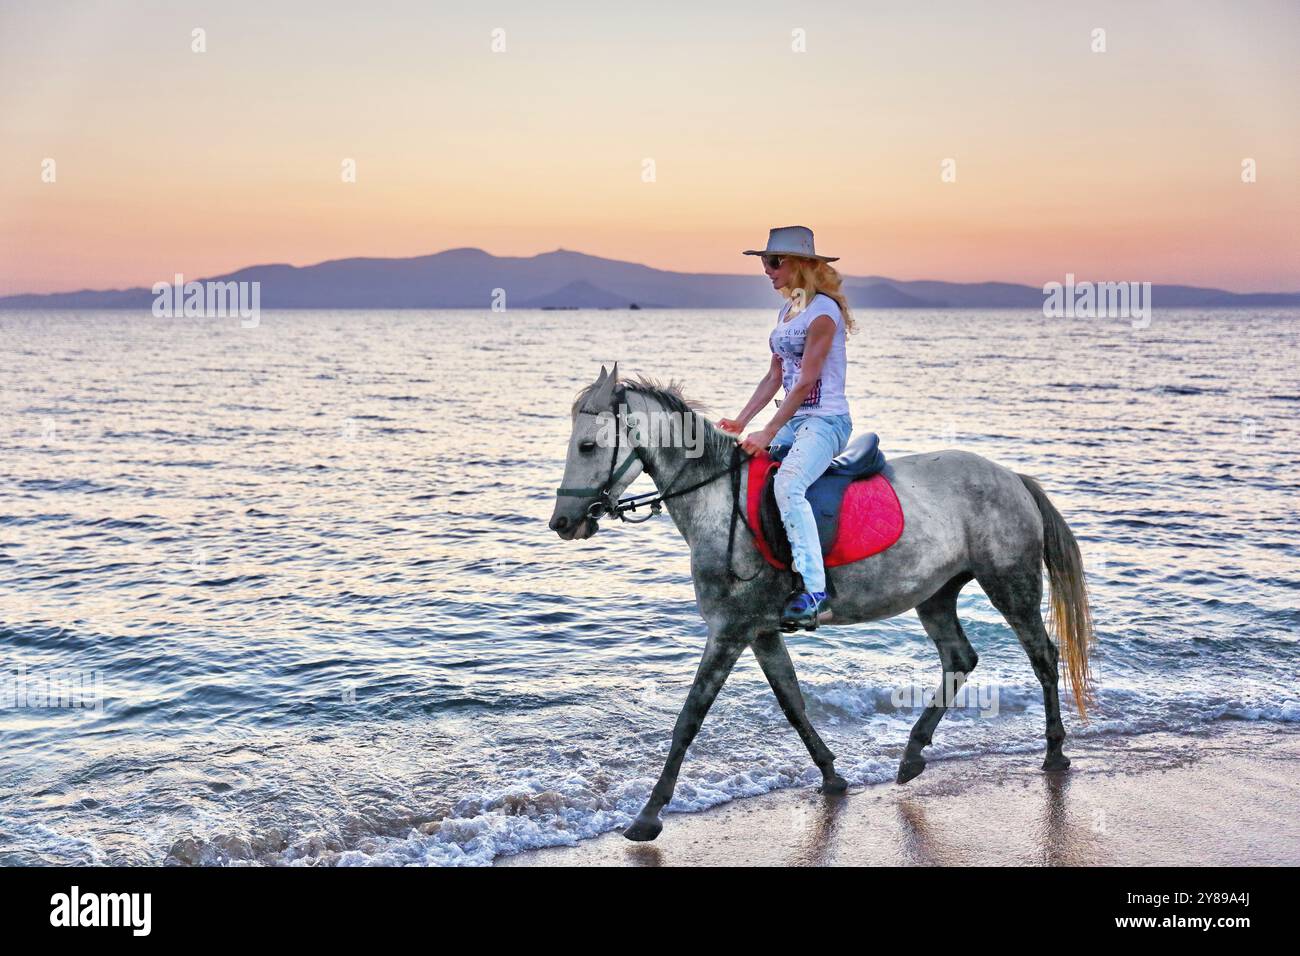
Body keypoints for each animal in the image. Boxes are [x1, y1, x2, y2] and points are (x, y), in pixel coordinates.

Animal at [549, 364, 1095, 843]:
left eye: (588, 445)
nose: (563, 522)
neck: (719, 502)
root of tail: (1012, 477)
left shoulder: (729, 631)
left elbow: (689, 719)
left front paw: (648, 814)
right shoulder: (760, 632)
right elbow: (791, 701)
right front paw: (831, 775)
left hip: (1010, 583)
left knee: (1043, 657)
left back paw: (1054, 752)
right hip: (936, 594)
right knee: (960, 658)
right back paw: (912, 755)